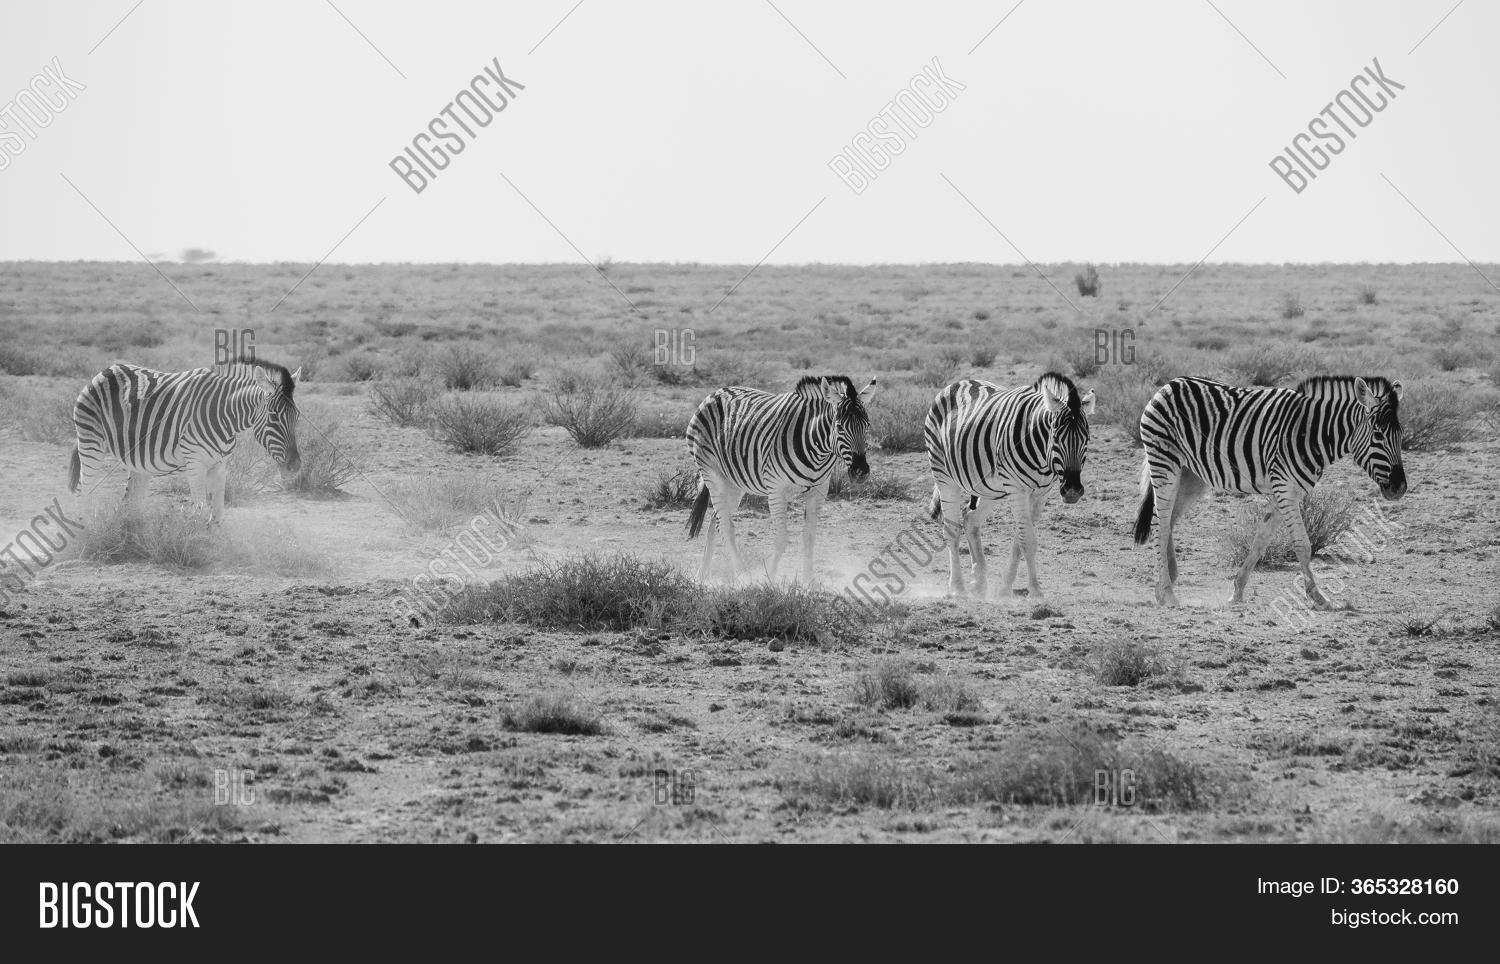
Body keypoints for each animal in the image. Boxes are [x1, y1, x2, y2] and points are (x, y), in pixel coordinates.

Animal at [69, 357, 303, 523]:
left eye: (297, 416)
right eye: (273, 417)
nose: (295, 467)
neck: (224, 414)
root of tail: (105, 370)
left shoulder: (219, 464)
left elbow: (218, 514)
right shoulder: (195, 463)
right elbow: (201, 511)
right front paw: (196, 545)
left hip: (137, 460)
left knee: (130, 502)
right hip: (91, 441)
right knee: (84, 492)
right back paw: (86, 532)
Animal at [686, 374, 877, 583]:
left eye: (867, 426)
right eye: (840, 427)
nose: (860, 471)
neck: (818, 450)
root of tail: (716, 392)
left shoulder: (819, 490)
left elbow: (809, 538)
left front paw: (809, 582)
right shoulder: (776, 489)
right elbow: (781, 539)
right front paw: (769, 578)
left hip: (734, 482)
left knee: (718, 521)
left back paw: (702, 575)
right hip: (712, 473)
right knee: (726, 526)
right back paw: (743, 575)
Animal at [924, 372, 1095, 599]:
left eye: (1087, 439)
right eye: (1056, 437)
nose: (1073, 491)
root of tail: (958, 383)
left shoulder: (1040, 494)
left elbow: (1020, 541)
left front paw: (1005, 589)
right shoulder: (1017, 490)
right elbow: (1027, 540)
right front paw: (1035, 591)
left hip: (992, 489)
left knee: (970, 519)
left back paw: (979, 582)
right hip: (944, 475)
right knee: (951, 530)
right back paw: (958, 588)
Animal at [1133, 374, 1405, 608]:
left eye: (1401, 435)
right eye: (1378, 435)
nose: (1400, 487)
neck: (1312, 432)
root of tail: (1169, 384)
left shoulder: (1285, 490)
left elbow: (1261, 540)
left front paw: (1237, 591)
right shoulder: (1284, 487)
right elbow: (1303, 544)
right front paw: (1318, 597)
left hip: (1192, 475)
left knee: (1169, 520)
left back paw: (1166, 581)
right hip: (1164, 461)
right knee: (1160, 523)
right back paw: (1167, 593)